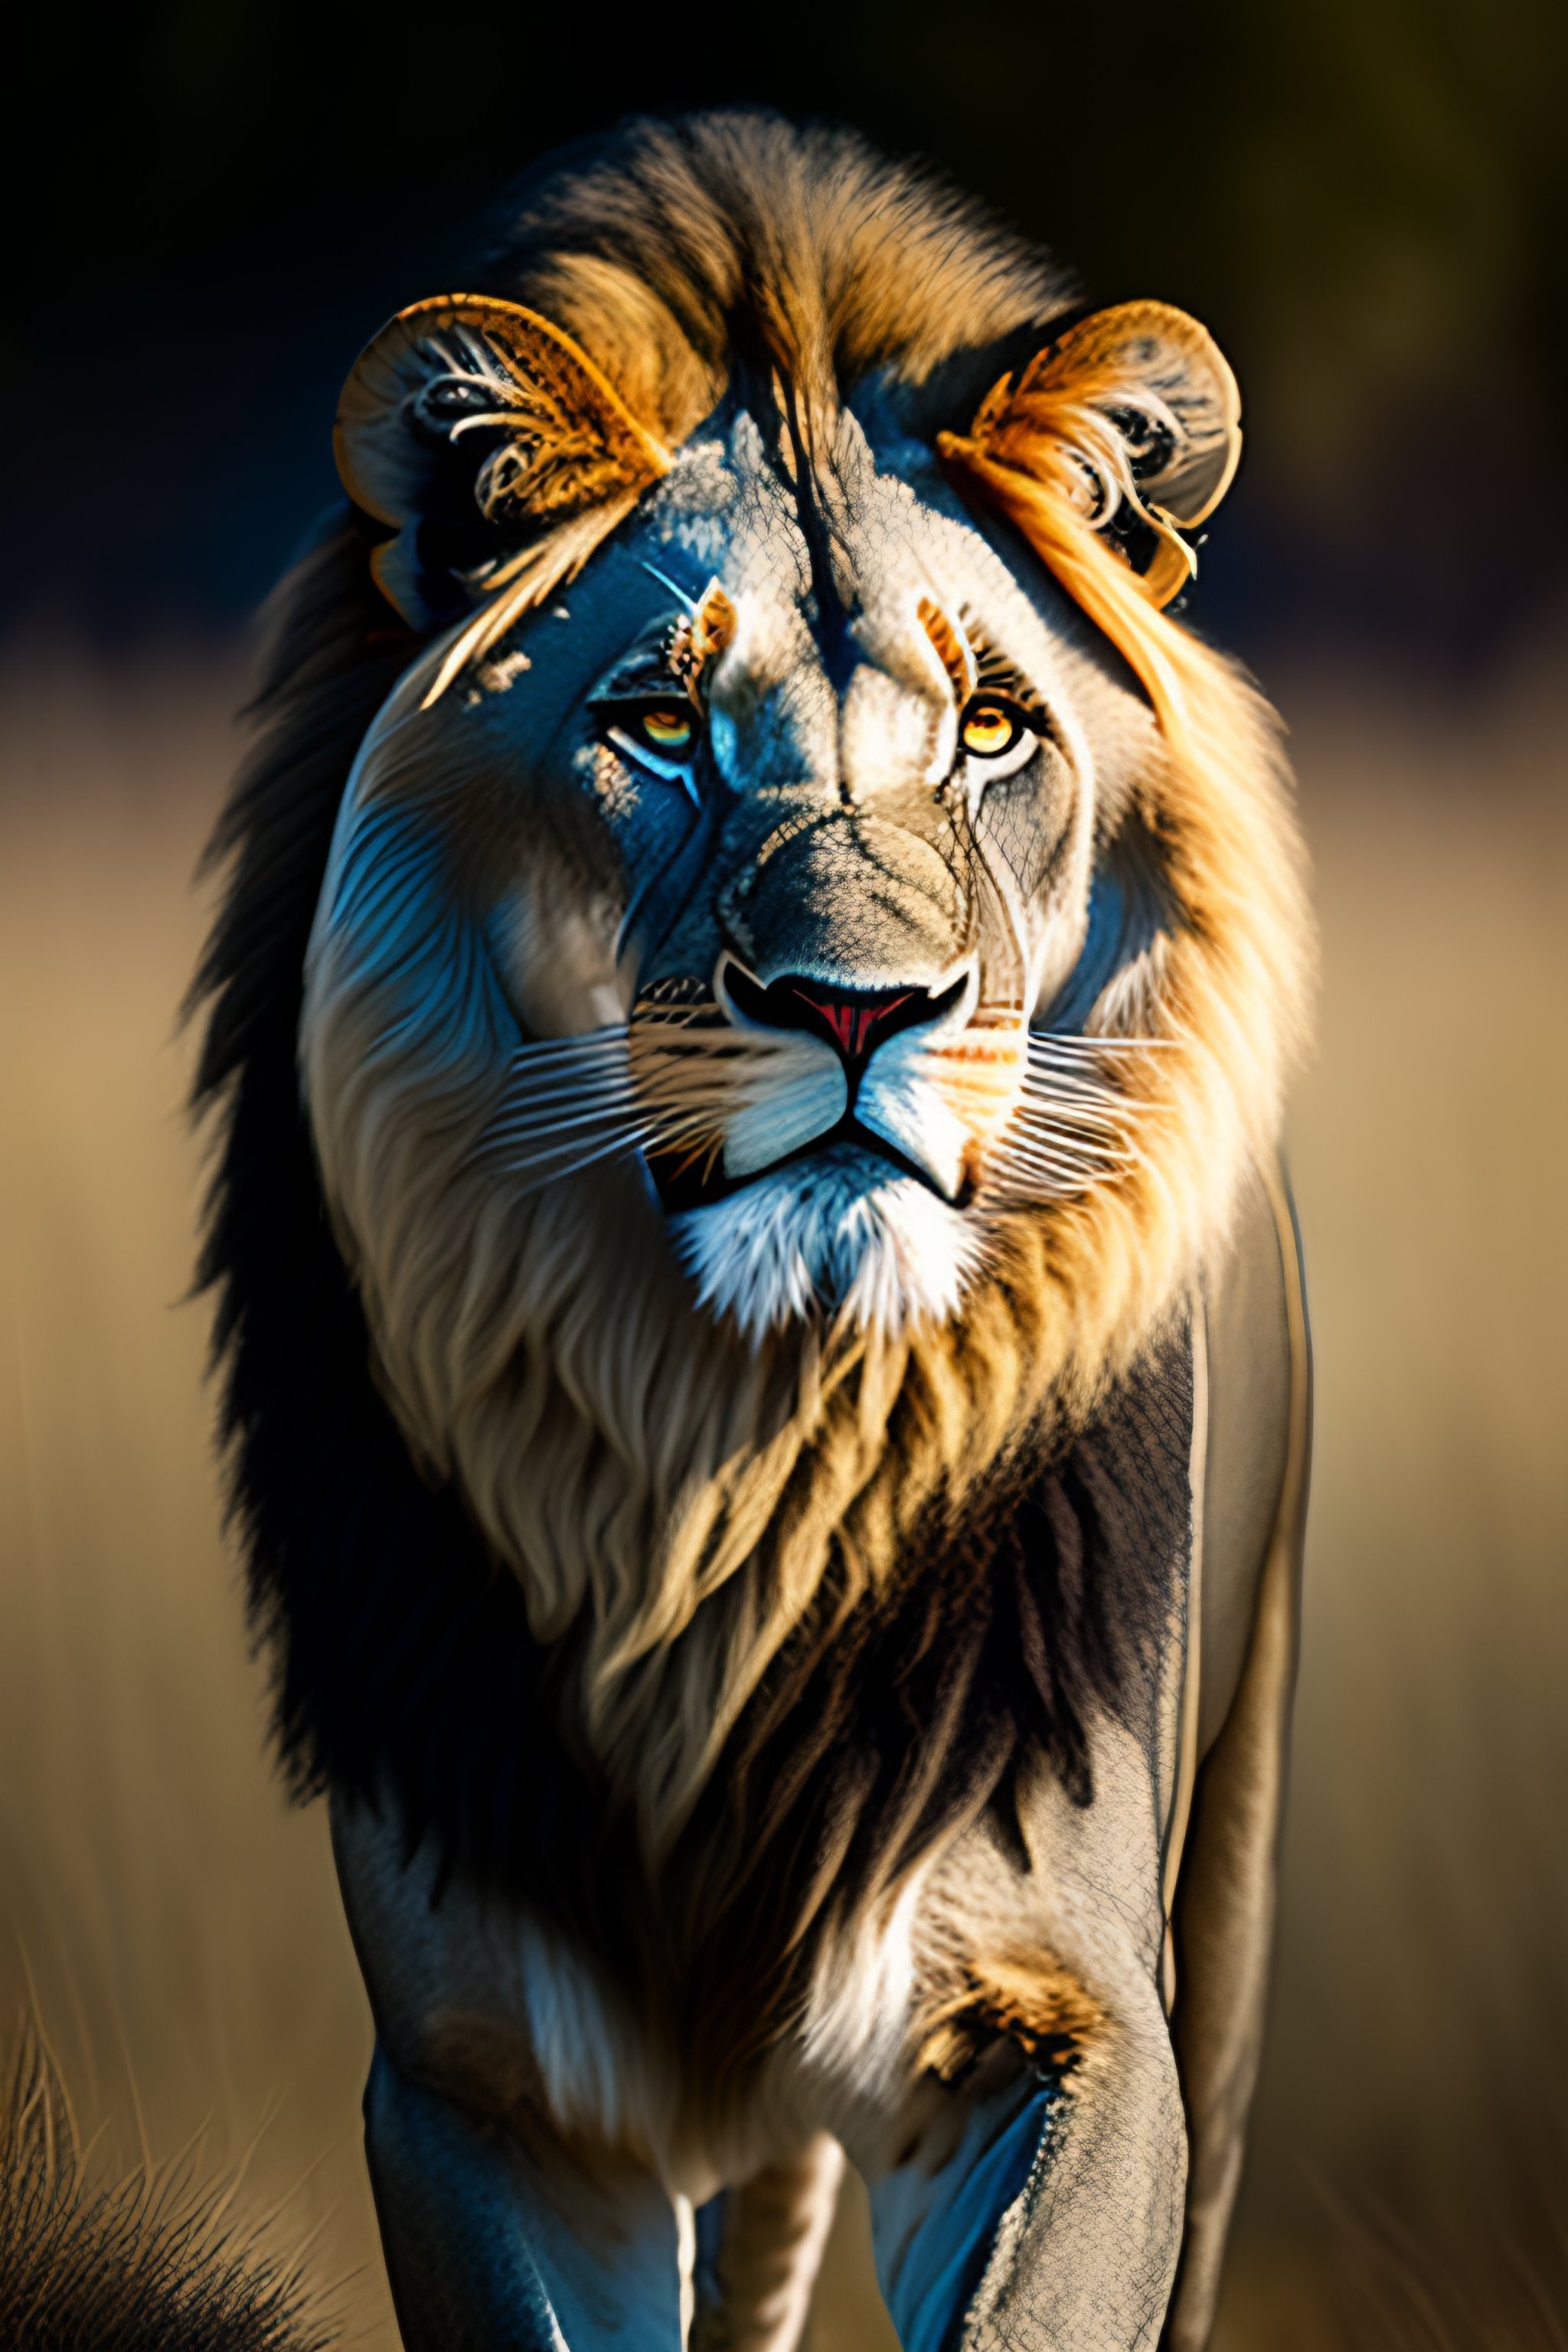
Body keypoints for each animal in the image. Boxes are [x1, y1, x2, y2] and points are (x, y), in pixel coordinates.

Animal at [188, 108, 1313, 2352]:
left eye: (992, 729)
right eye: (659, 723)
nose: (860, 1007)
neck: (744, 1462)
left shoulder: (1071, 2008)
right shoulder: (483, 2080)